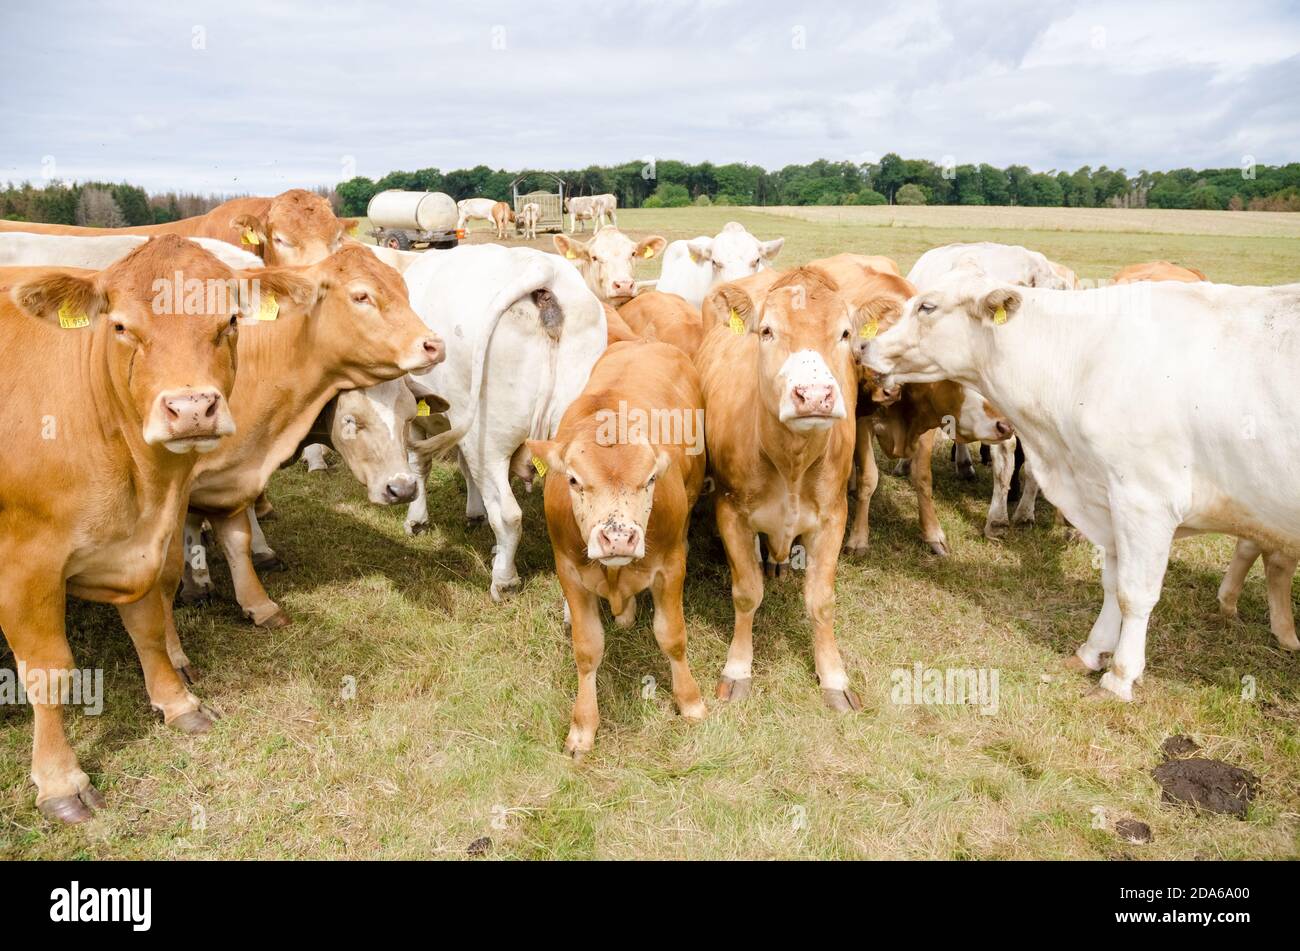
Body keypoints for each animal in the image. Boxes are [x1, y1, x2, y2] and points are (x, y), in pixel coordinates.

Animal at [0, 236, 243, 821]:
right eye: (121, 327)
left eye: (230, 319)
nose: (191, 409)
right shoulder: (24, 566)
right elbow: (49, 671)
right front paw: (59, 780)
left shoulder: (147, 546)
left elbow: (149, 626)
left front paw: (177, 703)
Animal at [400, 244, 607, 600]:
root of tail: (543, 270)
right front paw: (475, 514)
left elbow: (419, 466)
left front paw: (417, 519)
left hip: (487, 437)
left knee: (509, 514)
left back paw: (504, 579)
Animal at [528, 340, 708, 756]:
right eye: (574, 480)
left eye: (650, 479)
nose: (619, 537)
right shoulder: (569, 572)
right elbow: (587, 648)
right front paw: (583, 726)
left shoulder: (670, 567)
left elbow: (672, 636)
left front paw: (690, 700)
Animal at [695, 266, 862, 710]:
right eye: (767, 330)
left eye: (844, 333)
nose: (815, 396)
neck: (792, 462)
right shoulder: (731, 513)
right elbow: (746, 592)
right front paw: (737, 669)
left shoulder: (833, 516)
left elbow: (821, 601)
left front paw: (833, 675)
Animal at [859, 268, 1300, 701]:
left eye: (927, 307)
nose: (864, 345)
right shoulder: (1108, 499)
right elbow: (1112, 583)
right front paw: (1092, 651)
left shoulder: (1145, 501)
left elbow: (1135, 592)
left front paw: (1120, 675)